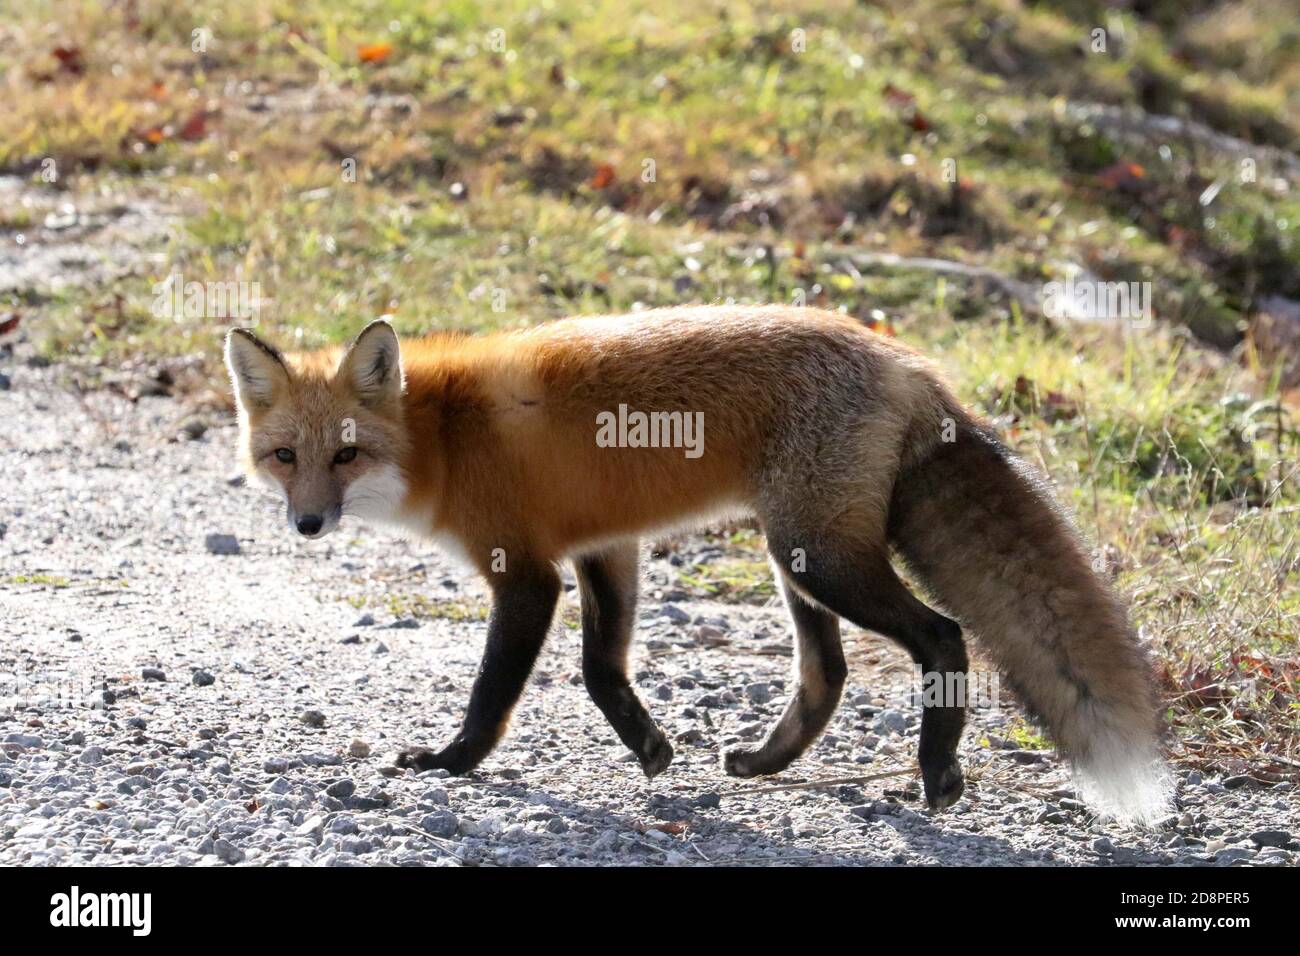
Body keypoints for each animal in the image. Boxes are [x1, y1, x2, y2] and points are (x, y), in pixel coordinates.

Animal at [224, 305, 1171, 823]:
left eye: (345, 456)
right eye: (285, 457)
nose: (307, 523)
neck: (445, 438)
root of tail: (908, 361)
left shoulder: (526, 573)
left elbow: (494, 694)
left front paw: (452, 763)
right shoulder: (605, 545)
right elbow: (601, 669)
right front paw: (650, 747)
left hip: (818, 556)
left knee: (939, 636)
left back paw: (937, 773)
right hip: (794, 554)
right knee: (826, 672)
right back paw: (765, 765)